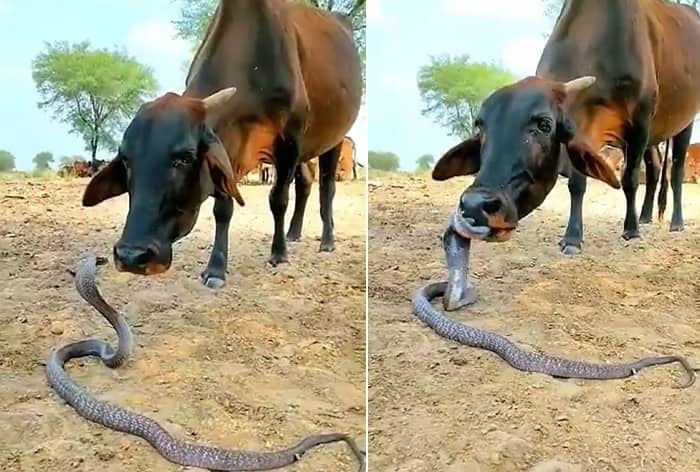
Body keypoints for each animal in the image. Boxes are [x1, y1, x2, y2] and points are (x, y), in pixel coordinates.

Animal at [81, 0, 362, 288]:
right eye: (126, 159)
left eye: (184, 158)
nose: (131, 255)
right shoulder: (230, 148)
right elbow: (223, 209)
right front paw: (216, 268)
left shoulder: (289, 141)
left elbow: (278, 199)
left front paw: (279, 254)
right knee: (305, 182)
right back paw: (293, 233)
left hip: (333, 140)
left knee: (326, 188)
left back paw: (326, 241)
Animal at [534, 0, 700, 254]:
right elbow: (577, 184)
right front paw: (572, 237)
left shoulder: (640, 121)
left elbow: (629, 178)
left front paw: (630, 229)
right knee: (654, 168)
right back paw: (645, 216)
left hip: (684, 122)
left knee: (676, 170)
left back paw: (676, 223)